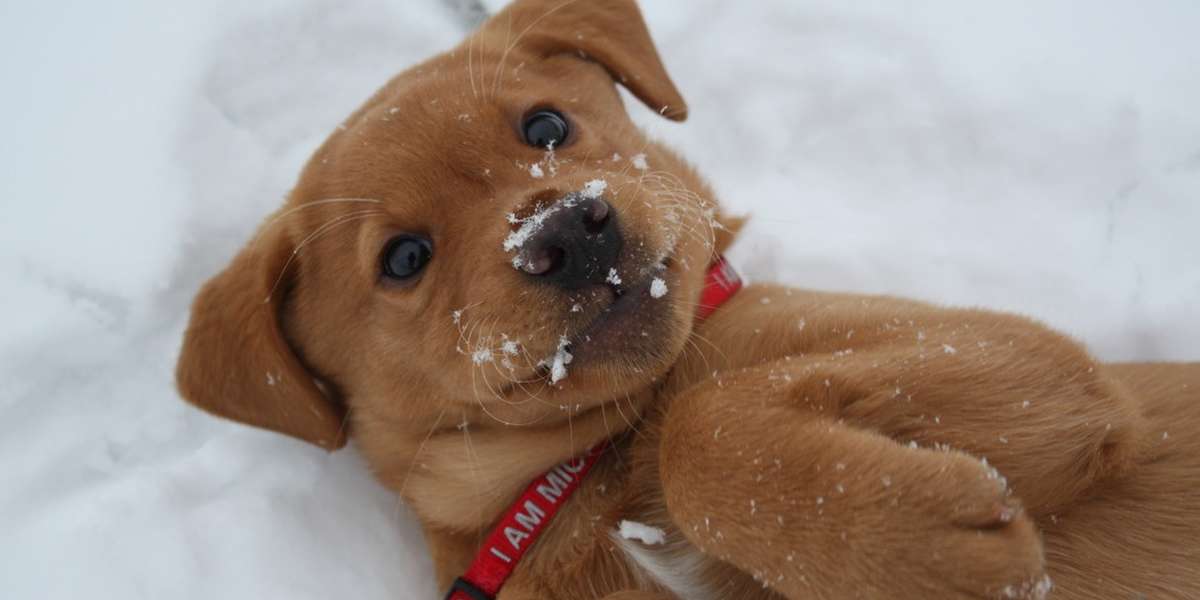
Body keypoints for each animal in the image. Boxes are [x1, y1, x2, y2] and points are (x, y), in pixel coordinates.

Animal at [175, 2, 1200, 597]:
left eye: (545, 126)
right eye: (404, 257)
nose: (568, 229)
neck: (598, 458)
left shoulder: (1035, 366)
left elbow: (704, 424)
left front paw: (920, 548)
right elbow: (704, 423)